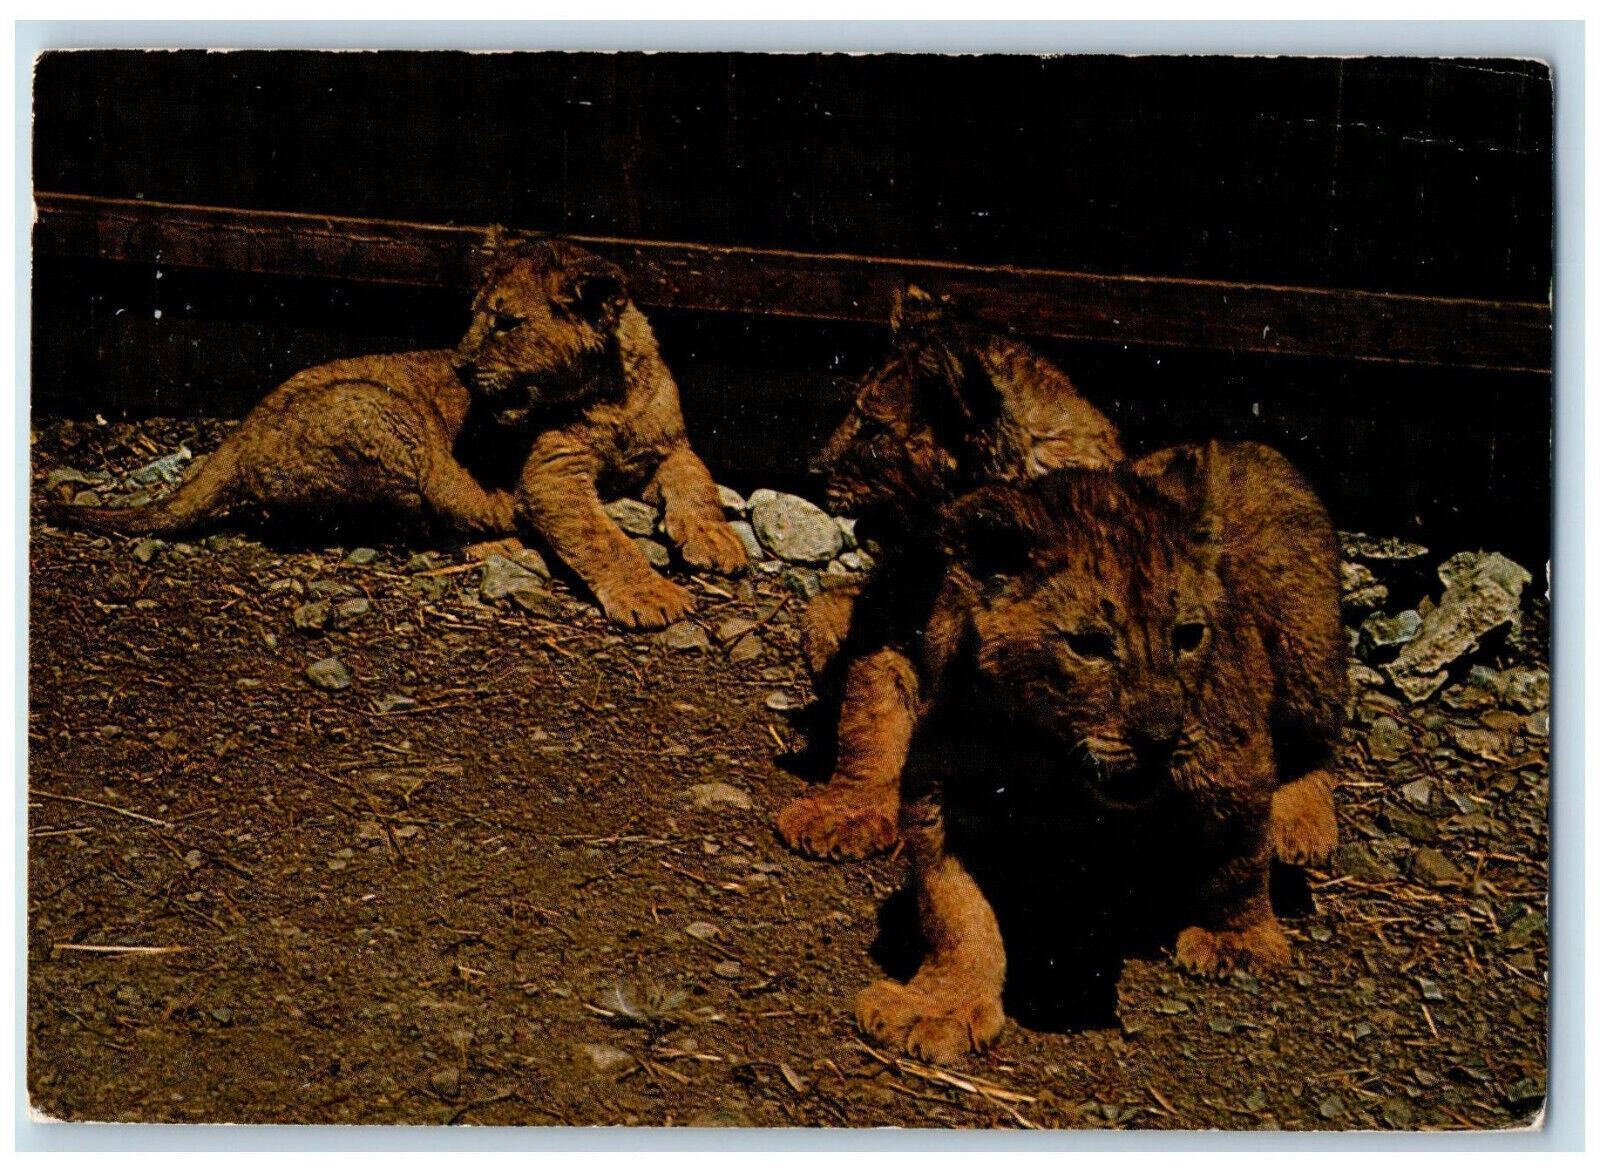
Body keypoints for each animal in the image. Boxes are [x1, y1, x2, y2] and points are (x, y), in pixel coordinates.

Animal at [44, 231, 746, 630]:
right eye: (474, 316)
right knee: (404, 520)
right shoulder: (551, 478)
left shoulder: (671, 446)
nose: (459, 367)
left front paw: (715, 540)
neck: (609, 393)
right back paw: (506, 538)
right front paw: (652, 593)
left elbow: (698, 483)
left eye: (506, 323)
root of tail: (236, 435)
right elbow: (602, 539)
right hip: (384, 415)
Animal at [858, 452, 1338, 1062]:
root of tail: (1243, 444)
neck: (1051, 753)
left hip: (1307, 654)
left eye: (1188, 636)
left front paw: (1237, 941)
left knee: (1317, 743)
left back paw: (1300, 825)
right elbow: (953, 910)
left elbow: (1238, 858)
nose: (1160, 737)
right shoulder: (940, 784)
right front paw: (941, 1006)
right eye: (1088, 646)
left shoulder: (1231, 755)